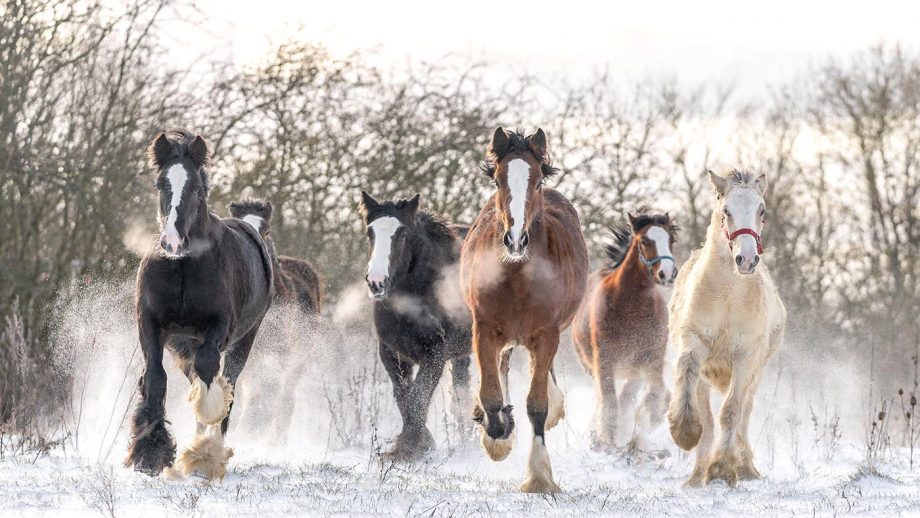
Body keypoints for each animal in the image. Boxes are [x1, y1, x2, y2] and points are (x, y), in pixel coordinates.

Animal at [125, 130, 274, 481]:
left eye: (195, 187)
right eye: (160, 184)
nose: (173, 242)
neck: (183, 267)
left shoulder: (219, 327)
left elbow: (210, 373)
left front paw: (203, 452)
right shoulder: (150, 324)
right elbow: (155, 378)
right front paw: (149, 453)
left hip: (243, 340)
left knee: (227, 382)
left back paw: (209, 446)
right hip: (183, 344)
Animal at [358, 191, 473, 460]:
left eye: (402, 234)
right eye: (370, 232)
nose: (376, 281)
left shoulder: (435, 355)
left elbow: (419, 395)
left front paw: (412, 446)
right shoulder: (392, 353)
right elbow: (403, 396)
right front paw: (416, 443)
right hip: (461, 354)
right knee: (461, 391)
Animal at [461, 128, 588, 493]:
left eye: (537, 183)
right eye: (498, 181)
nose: (515, 240)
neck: (518, 277)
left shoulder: (546, 335)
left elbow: (538, 405)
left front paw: (539, 477)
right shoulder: (484, 329)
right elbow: (490, 395)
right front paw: (499, 435)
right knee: (501, 368)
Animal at [572, 211, 679, 451]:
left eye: (671, 240)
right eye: (644, 241)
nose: (667, 273)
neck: (632, 307)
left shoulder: (650, 360)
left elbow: (658, 395)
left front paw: (640, 429)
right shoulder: (604, 361)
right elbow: (610, 404)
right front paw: (608, 441)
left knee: (626, 396)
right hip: (593, 366)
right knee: (605, 399)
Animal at [667, 169, 786, 487]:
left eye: (762, 211)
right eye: (726, 211)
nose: (746, 260)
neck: (730, 295)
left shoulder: (746, 356)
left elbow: (731, 411)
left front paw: (722, 469)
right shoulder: (695, 342)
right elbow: (689, 383)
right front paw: (685, 434)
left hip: (757, 371)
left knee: (744, 411)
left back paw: (744, 468)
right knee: (707, 415)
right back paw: (698, 473)